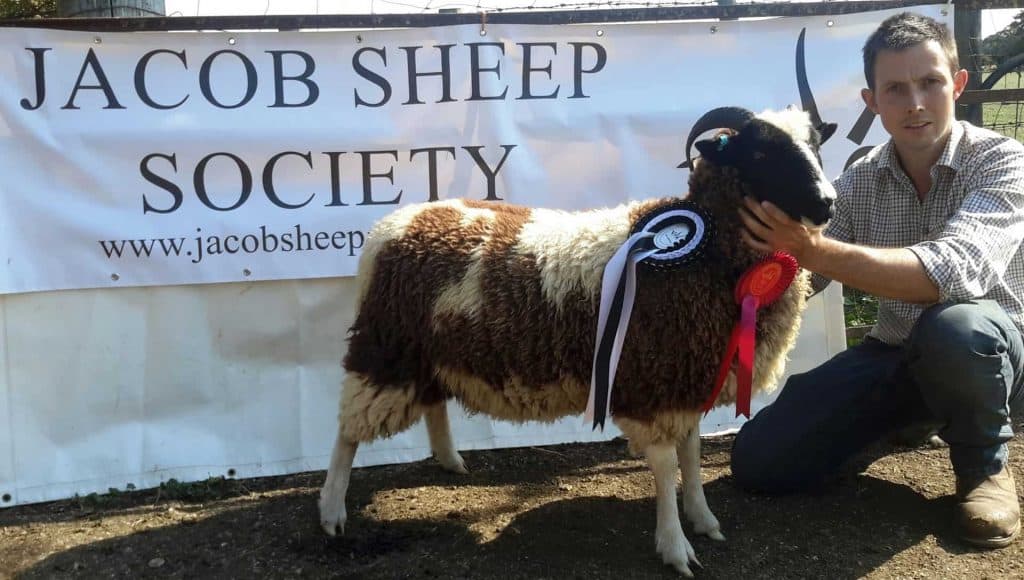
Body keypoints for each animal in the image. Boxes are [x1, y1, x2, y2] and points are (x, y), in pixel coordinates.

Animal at [318, 106, 837, 577]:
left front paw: (704, 519)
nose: (827, 203)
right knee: (347, 429)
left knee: (431, 402)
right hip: (387, 347)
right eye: (761, 150)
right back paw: (331, 511)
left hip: (428, 350)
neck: (705, 249)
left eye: (815, 144)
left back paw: (450, 461)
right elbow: (667, 466)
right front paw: (675, 547)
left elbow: (691, 456)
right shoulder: (649, 381)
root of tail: (393, 226)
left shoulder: (686, 376)